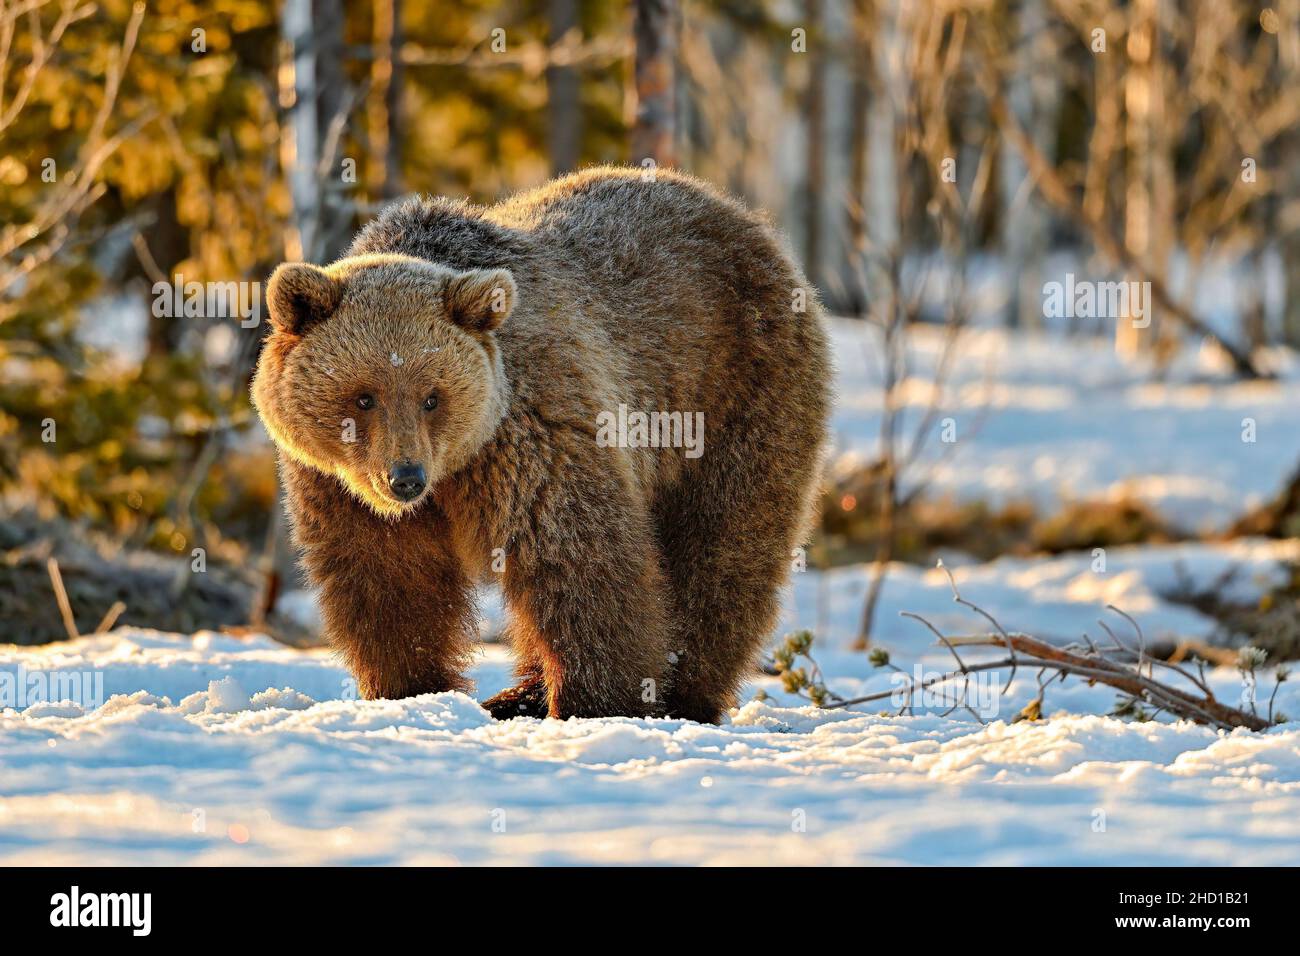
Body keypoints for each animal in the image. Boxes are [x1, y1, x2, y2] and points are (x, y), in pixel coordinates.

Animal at [252, 165, 831, 722]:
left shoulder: (531, 431)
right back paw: (518, 696)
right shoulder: (335, 484)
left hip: (735, 389)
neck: (455, 468)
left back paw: (683, 696)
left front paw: (596, 703)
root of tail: (742, 216)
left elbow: (574, 558)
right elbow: (390, 582)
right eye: (364, 396)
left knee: (725, 545)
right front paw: (412, 690)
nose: (405, 478)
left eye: (432, 396)